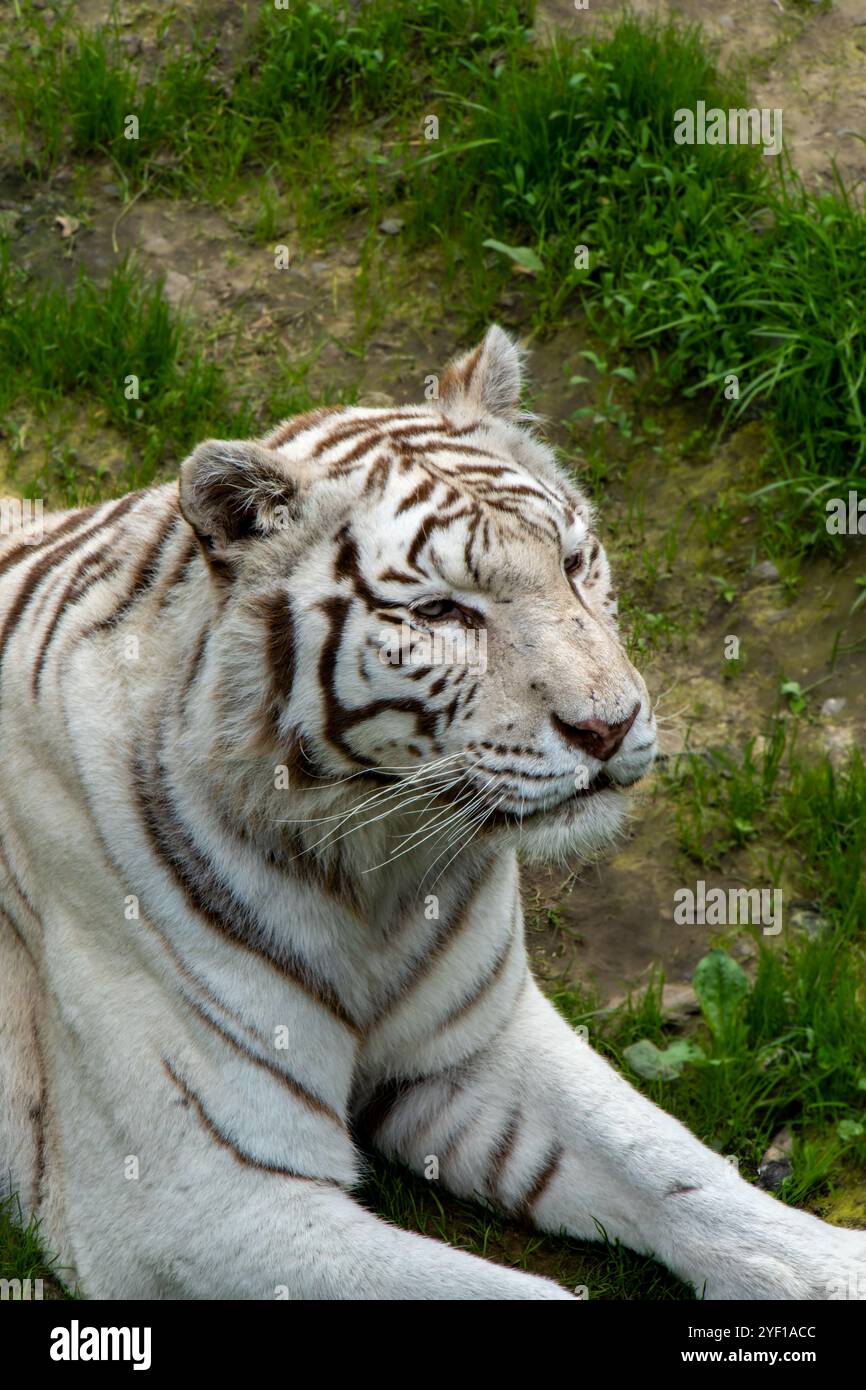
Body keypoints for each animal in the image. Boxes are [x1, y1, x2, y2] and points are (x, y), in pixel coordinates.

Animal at [0, 325, 863, 1300]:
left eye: (574, 562)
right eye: (442, 613)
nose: (608, 726)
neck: (380, 864)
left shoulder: (478, 1045)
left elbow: (668, 1162)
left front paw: (830, 1262)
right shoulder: (193, 1199)